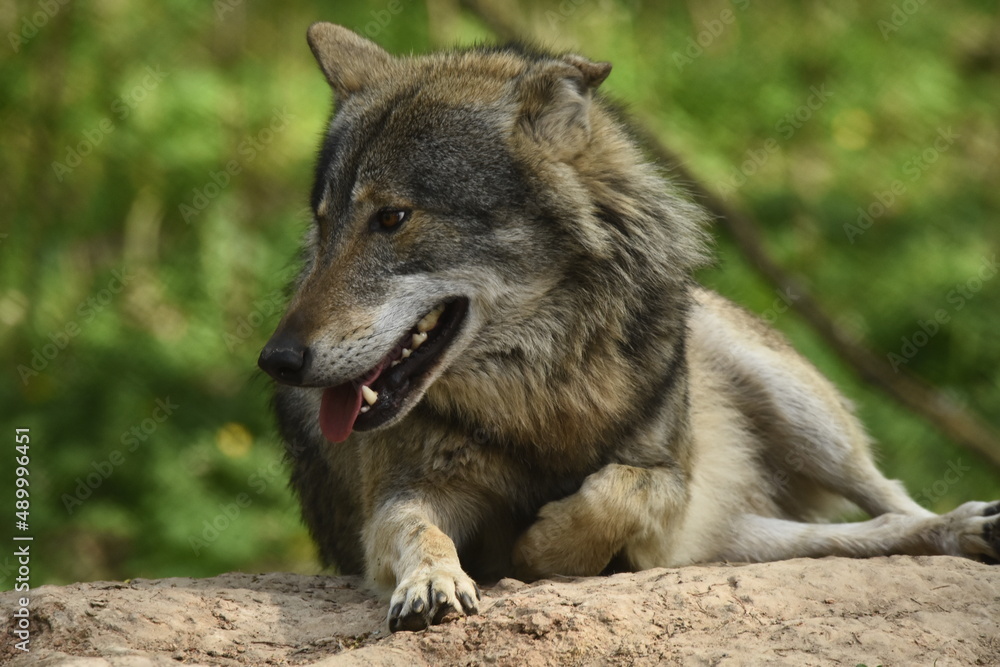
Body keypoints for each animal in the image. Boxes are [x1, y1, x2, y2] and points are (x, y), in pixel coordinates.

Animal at [258, 23, 1000, 632]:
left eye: (393, 218)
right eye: (324, 223)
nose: (277, 359)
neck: (541, 391)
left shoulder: (668, 486)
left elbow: (620, 490)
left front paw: (542, 546)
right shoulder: (397, 497)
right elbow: (418, 531)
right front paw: (434, 581)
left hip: (802, 414)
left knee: (891, 498)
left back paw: (965, 527)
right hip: (746, 527)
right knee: (846, 535)